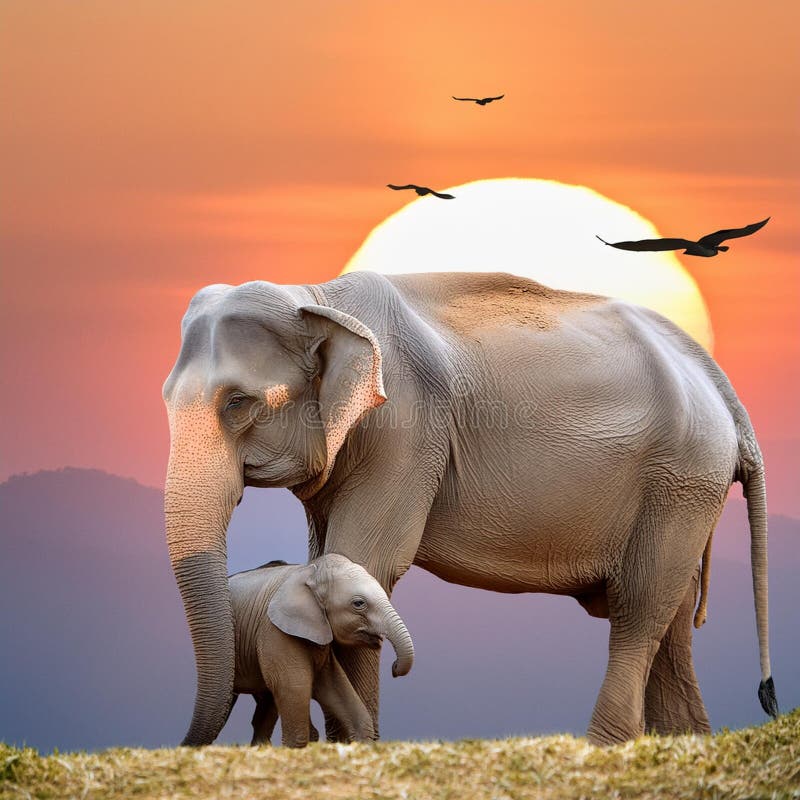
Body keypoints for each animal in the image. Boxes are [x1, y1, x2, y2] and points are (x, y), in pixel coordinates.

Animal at [225, 554, 413, 747]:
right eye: (359, 603)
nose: (394, 668)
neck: (310, 572)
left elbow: (334, 685)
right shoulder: (274, 631)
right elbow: (294, 688)